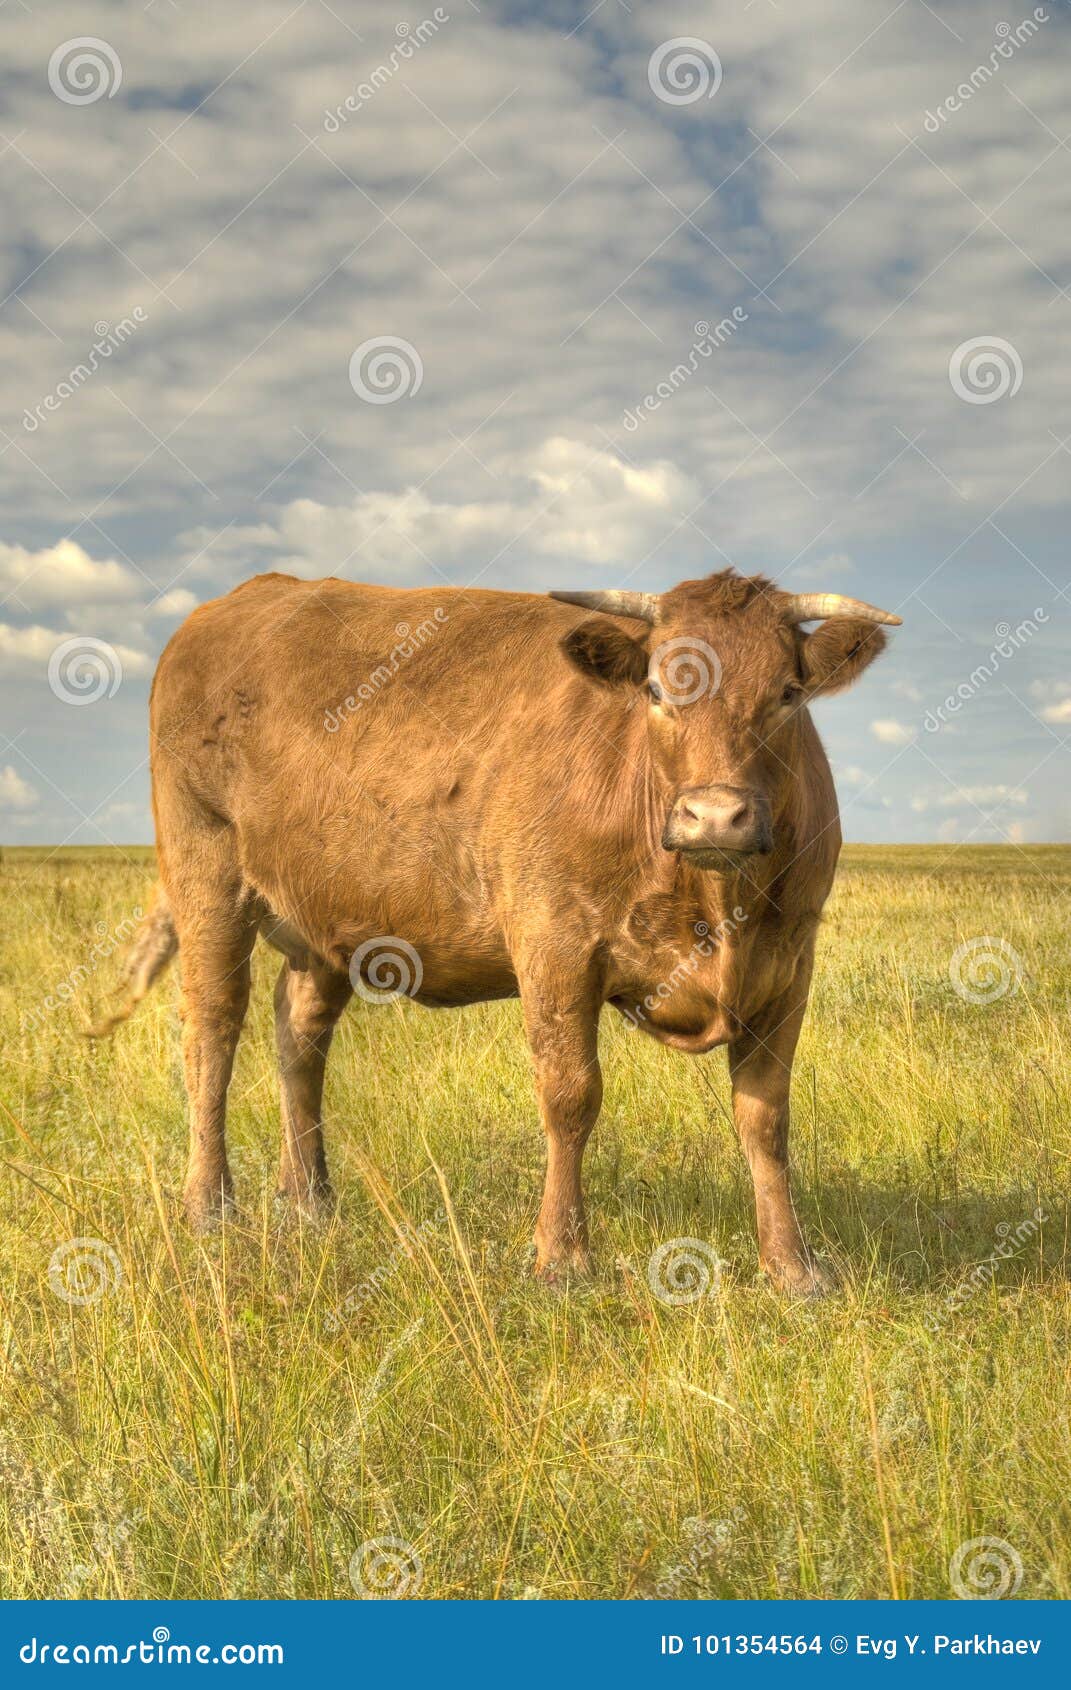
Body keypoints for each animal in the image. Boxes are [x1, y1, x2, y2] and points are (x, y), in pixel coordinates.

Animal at [97, 568, 898, 1296]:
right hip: (205, 874)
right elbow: (571, 1096)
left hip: (325, 915)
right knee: (212, 1031)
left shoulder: (788, 964)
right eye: (655, 692)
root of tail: (246, 596)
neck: (713, 898)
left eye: (787, 695)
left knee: (299, 1036)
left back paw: (310, 1202)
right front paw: (562, 1258)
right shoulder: (554, 944)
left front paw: (793, 1268)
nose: (715, 817)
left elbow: (765, 1116)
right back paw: (209, 1206)